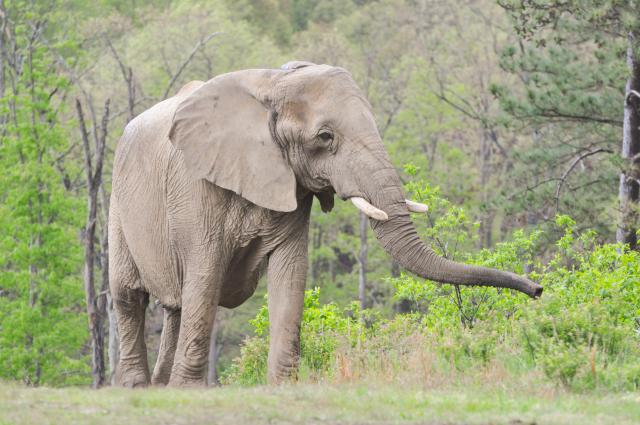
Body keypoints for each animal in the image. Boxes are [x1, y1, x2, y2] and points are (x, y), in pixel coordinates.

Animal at [108, 60, 543, 388]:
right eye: (325, 137)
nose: (538, 290)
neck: (271, 83)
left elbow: (290, 274)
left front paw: (283, 386)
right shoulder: (197, 187)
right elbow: (205, 276)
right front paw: (190, 390)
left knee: (174, 306)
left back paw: (159, 385)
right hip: (116, 202)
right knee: (130, 295)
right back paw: (138, 387)